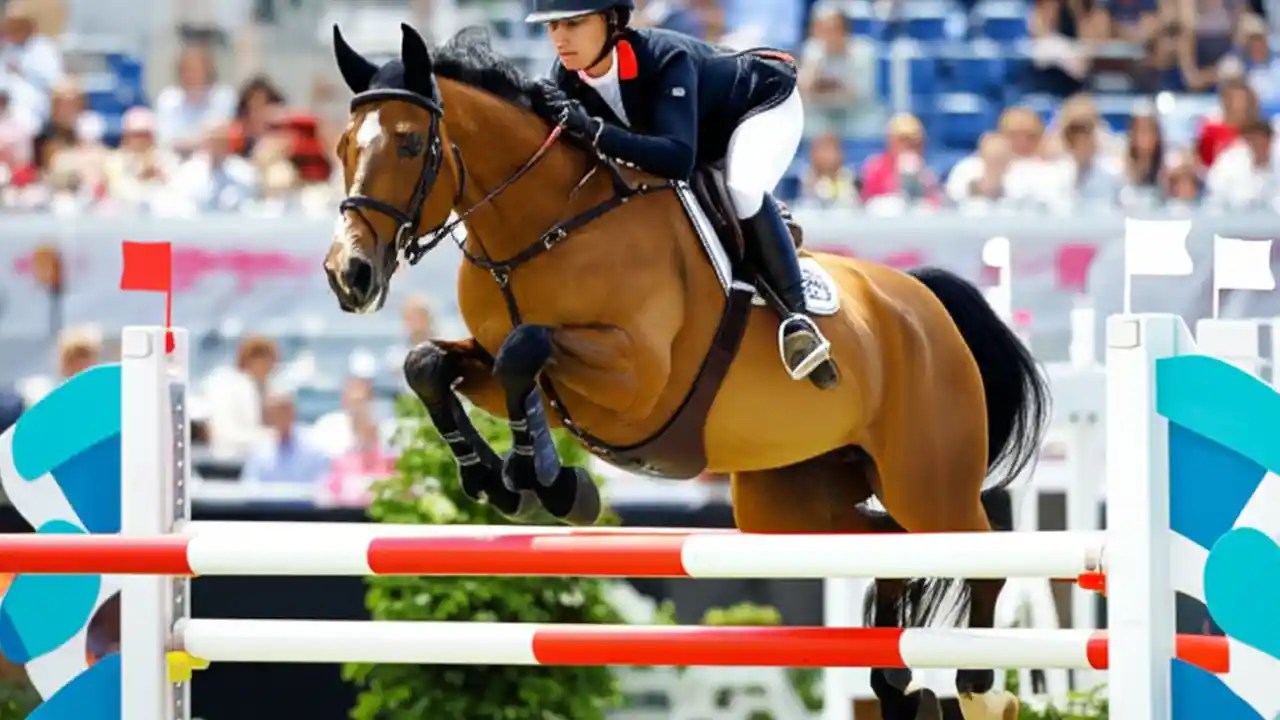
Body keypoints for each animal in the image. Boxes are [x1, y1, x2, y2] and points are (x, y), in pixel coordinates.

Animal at [323, 23, 1050, 720]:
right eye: (342, 148)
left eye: (410, 145)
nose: (347, 274)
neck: (543, 227)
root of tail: (923, 302)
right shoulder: (516, 370)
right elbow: (433, 364)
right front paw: (498, 479)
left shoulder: (636, 378)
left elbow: (524, 350)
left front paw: (546, 482)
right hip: (791, 507)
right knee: (888, 544)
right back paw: (896, 683)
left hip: (926, 479)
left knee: (978, 550)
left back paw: (981, 688)